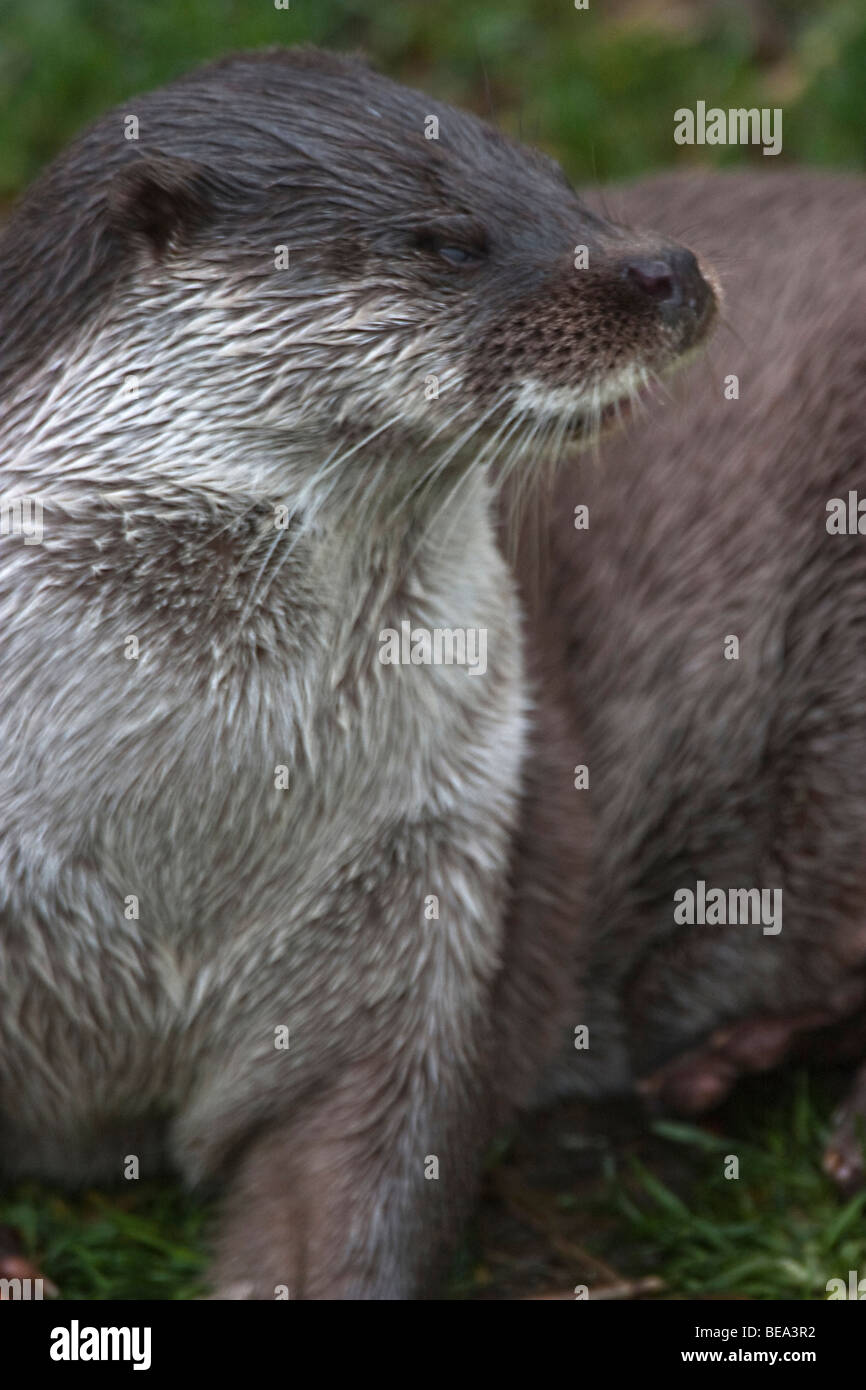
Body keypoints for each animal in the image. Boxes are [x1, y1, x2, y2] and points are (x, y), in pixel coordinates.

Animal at [0, 48, 716, 1297]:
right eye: (447, 241)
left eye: (561, 184)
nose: (664, 266)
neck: (179, 874)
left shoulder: (433, 892)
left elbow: (364, 1183)